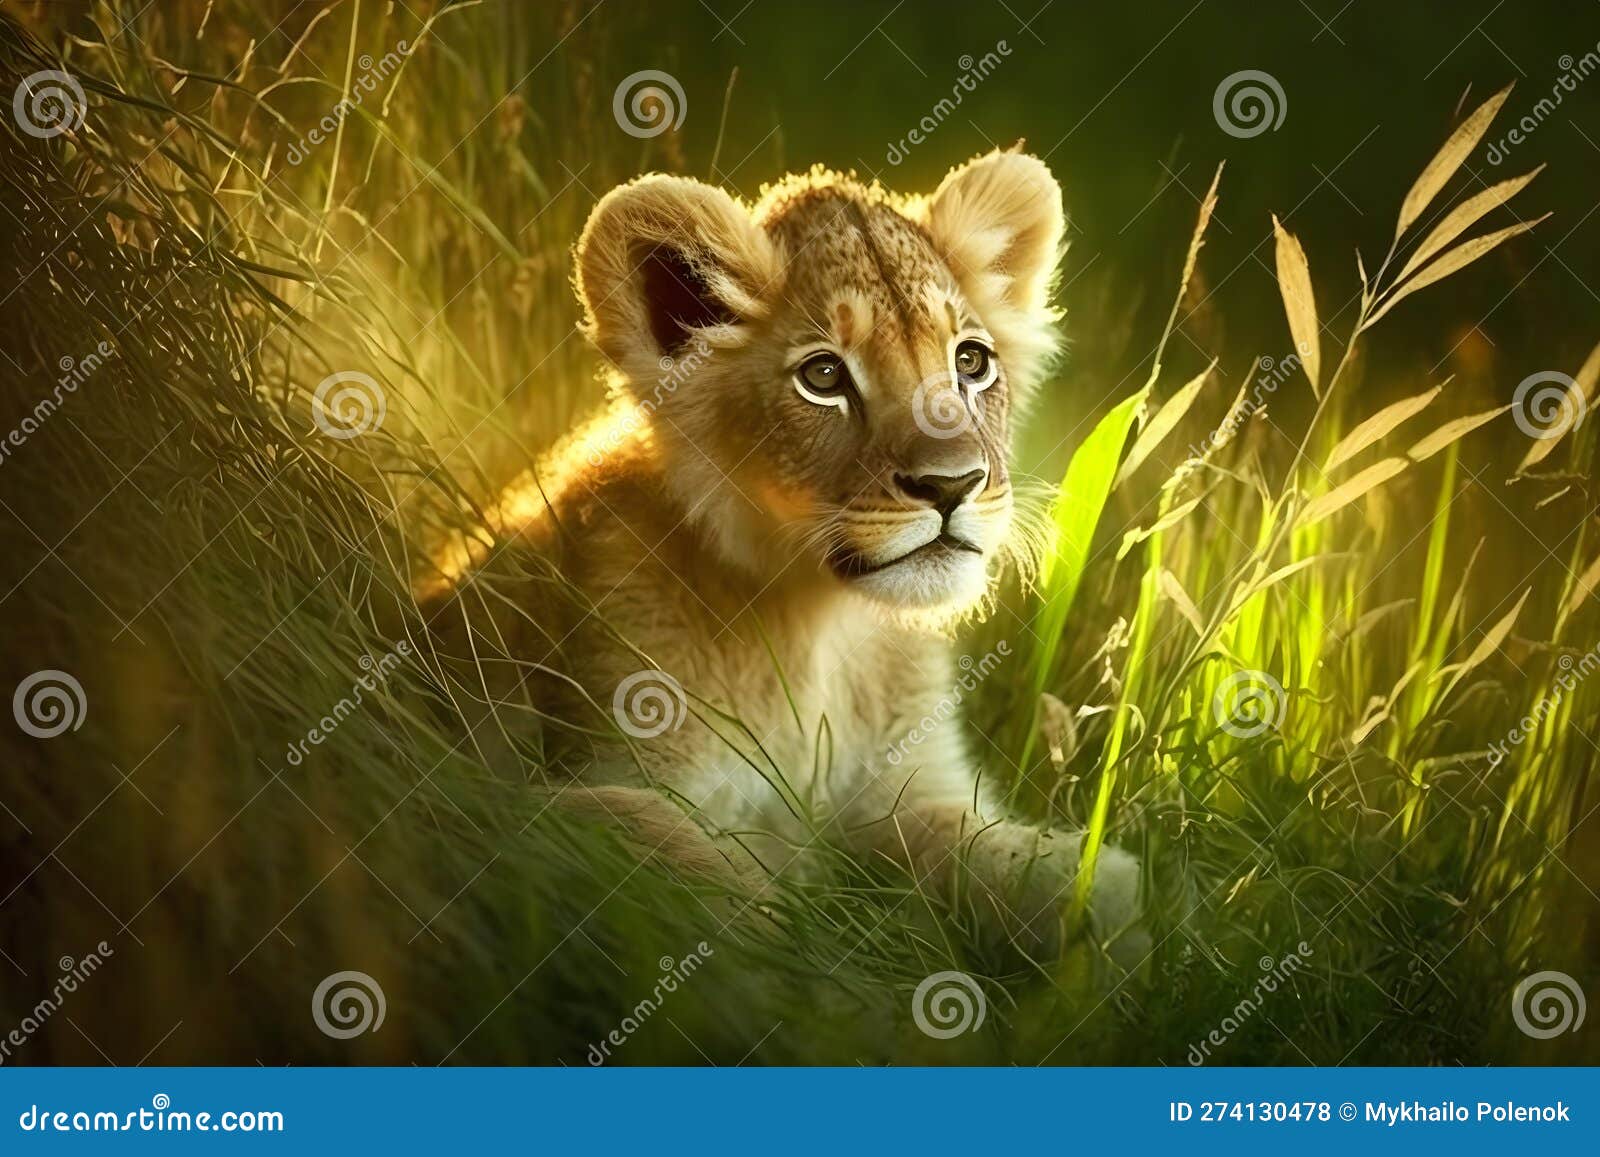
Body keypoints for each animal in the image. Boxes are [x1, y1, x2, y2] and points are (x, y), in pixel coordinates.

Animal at [424, 148, 1143, 965]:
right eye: (823, 377)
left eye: (971, 361)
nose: (953, 484)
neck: (816, 631)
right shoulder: (555, 788)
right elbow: (704, 871)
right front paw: (826, 961)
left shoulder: (910, 787)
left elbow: (1002, 855)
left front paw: (1121, 913)